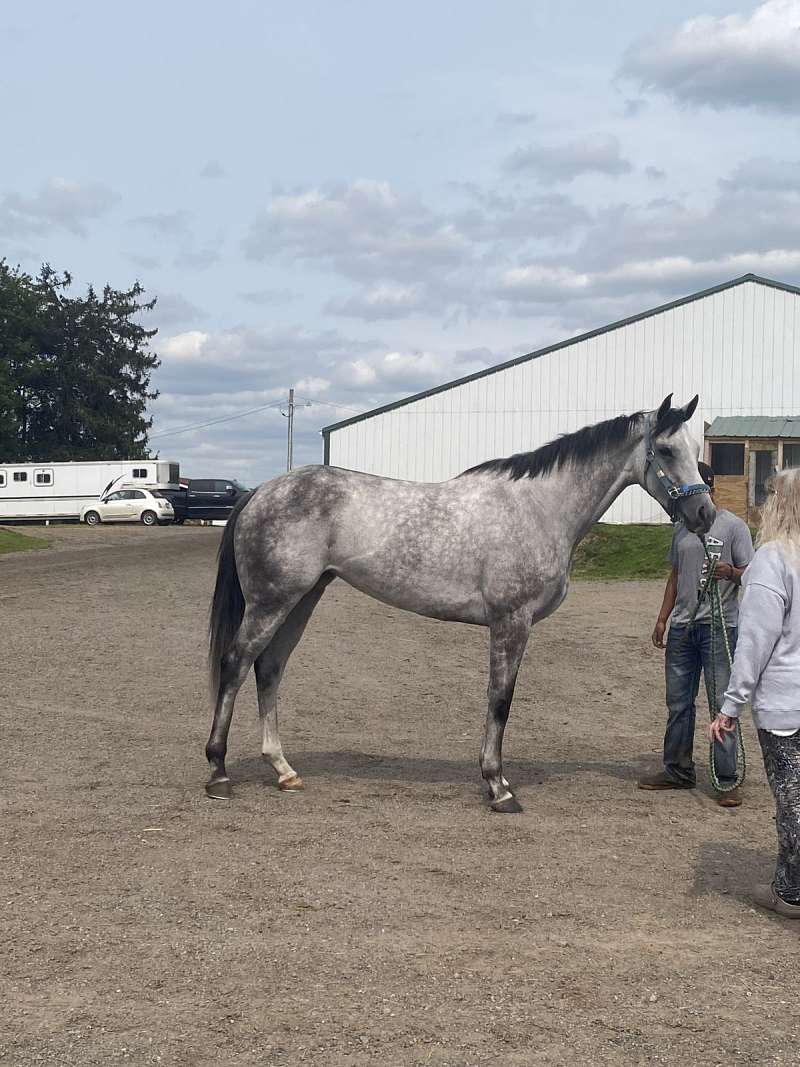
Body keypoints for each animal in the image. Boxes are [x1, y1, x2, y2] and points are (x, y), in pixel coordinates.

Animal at [204, 394, 713, 813]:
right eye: (667, 451)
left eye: (697, 453)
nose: (704, 514)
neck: (539, 508)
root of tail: (261, 492)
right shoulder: (511, 621)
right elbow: (501, 700)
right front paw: (498, 787)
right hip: (272, 601)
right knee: (236, 663)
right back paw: (218, 773)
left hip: (302, 599)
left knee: (269, 669)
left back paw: (283, 770)